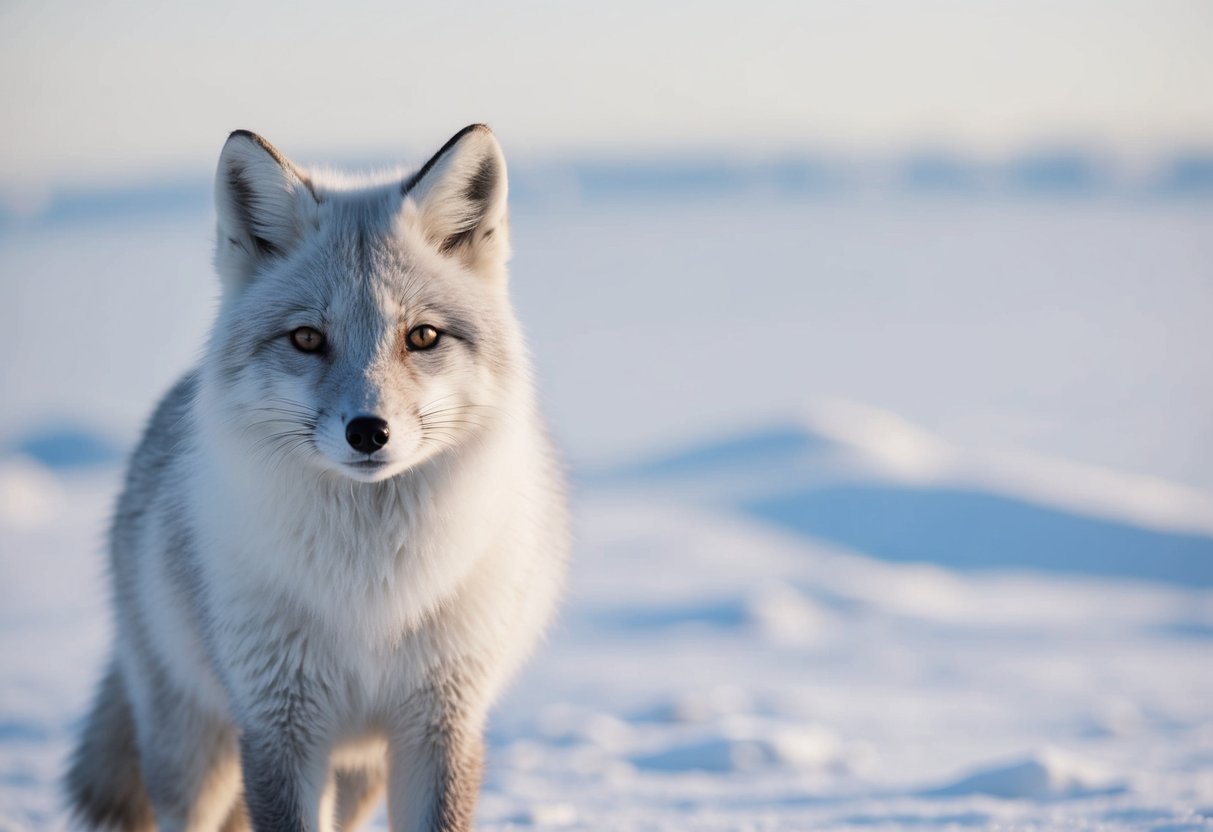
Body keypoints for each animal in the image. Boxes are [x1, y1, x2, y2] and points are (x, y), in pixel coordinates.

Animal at [64, 124, 569, 832]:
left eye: (422, 336)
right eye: (306, 338)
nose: (369, 431)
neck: (370, 590)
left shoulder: (440, 725)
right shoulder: (277, 725)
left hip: (359, 770)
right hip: (193, 750)